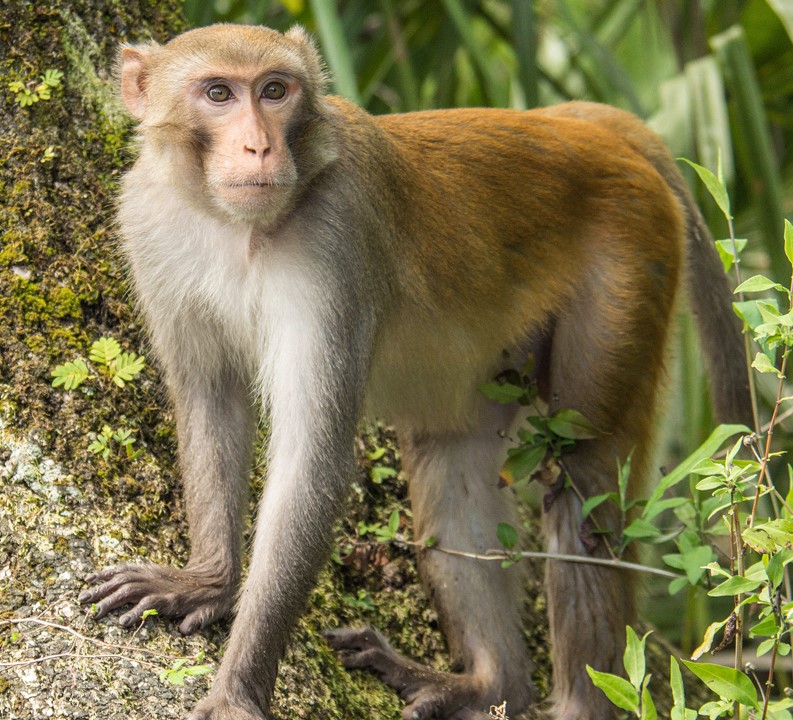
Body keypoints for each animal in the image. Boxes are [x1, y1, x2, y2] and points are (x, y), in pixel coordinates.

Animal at [77, 23, 751, 720]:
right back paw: (490, 685)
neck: (235, 227)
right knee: (453, 460)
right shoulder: (149, 223)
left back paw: (577, 702)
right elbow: (213, 402)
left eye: (274, 90)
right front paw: (204, 582)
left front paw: (237, 690)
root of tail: (579, 130)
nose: (258, 144)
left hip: (631, 263)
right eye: (218, 93)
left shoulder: (339, 235)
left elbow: (310, 463)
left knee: (581, 476)